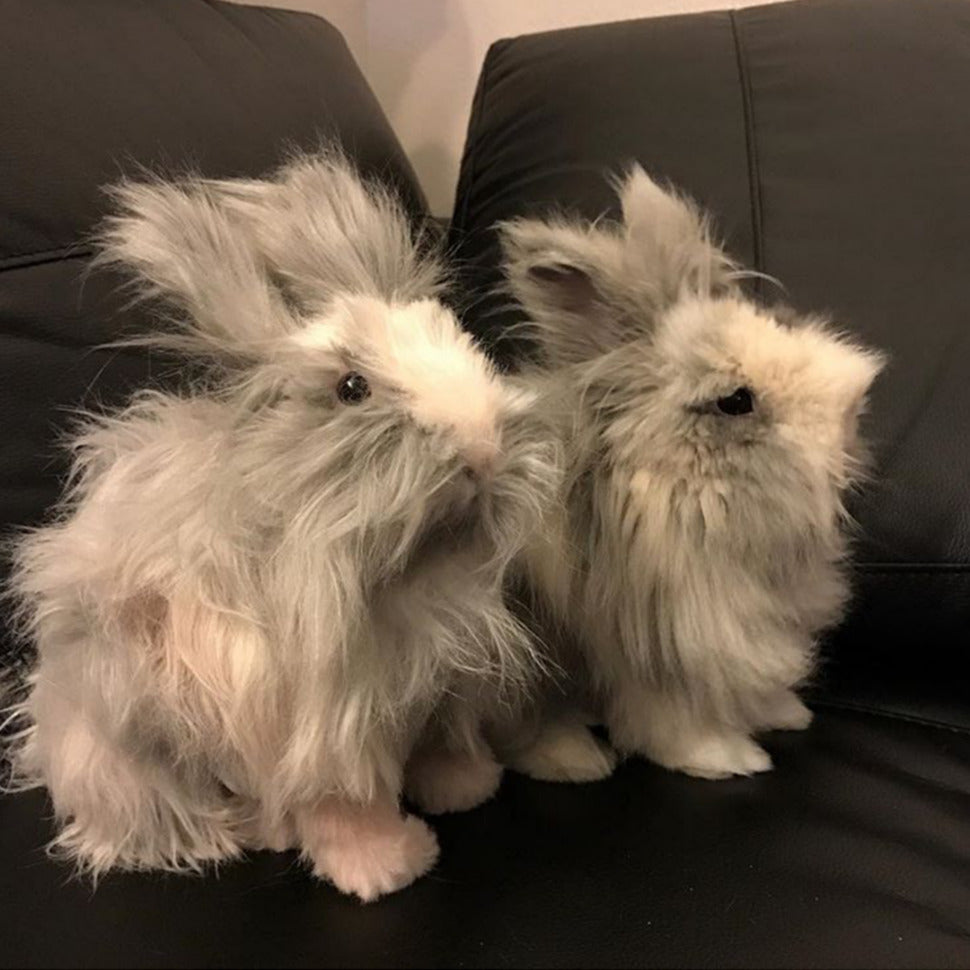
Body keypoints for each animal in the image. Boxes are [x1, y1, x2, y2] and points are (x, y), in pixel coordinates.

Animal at [3, 152, 560, 901]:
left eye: (460, 344)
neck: (398, 579)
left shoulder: (437, 683)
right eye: (352, 388)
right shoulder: (313, 725)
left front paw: (466, 788)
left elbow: (442, 740)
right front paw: (391, 865)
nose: (481, 448)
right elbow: (344, 808)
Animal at [496, 166, 884, 781]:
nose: (851, 411)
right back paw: (577, 760)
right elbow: (673, 720)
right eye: (735, 400)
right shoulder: (658, 643)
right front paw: (730, 758)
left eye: (781, 322)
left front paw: (786, 712)